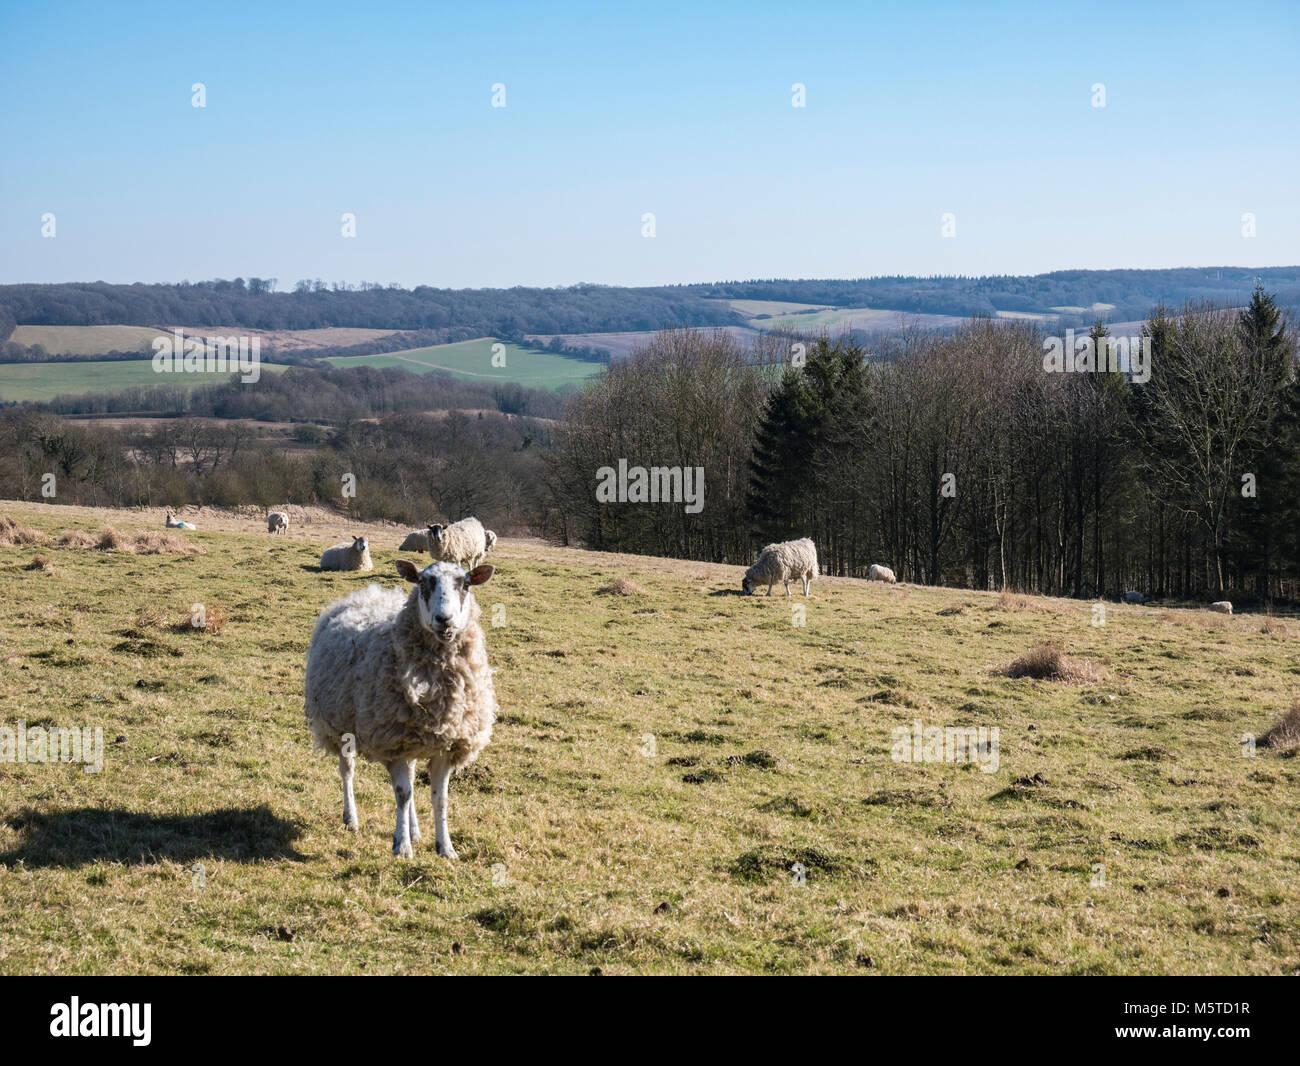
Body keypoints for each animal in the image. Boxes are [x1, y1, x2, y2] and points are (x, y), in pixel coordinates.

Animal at [304, 559, 498, 859]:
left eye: (465, 584)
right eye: (423, 582)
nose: (444, 619)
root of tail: (366, 594)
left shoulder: (446, 745)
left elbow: (440, 799)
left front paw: (445, 848)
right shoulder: (393, 742)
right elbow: (402, 794)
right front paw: (402, 846)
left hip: (412, 739)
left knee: (411, 781)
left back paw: (415, 830)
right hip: (340, 729)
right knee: (347, 771)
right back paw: (351, 818)